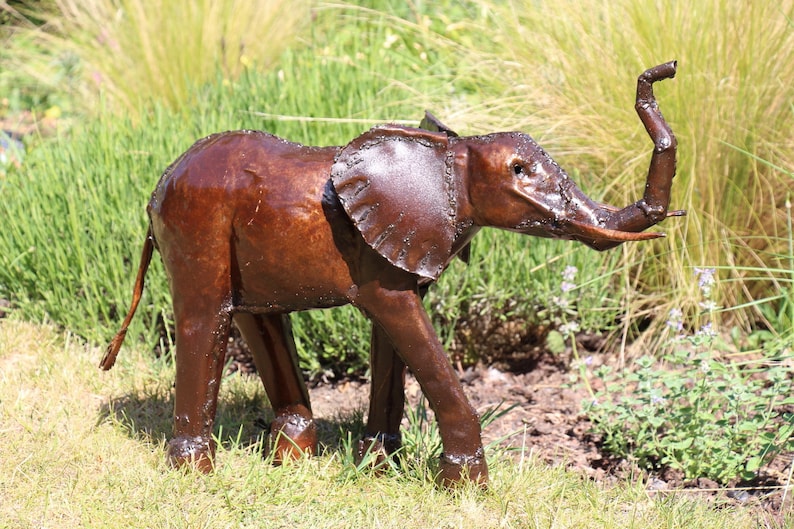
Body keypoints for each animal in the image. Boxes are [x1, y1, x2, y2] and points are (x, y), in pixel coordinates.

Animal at [101, 61, 682, 487]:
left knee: (258, 319)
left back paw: (291, 459)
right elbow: (403, 322)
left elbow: (393, 337)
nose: (665, 69)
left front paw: (378, 468)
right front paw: (465, 486)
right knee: (206, 317)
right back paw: (195, 474)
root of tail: (157, 186)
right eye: (518, 171)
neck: (449, 151)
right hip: (196, 225)